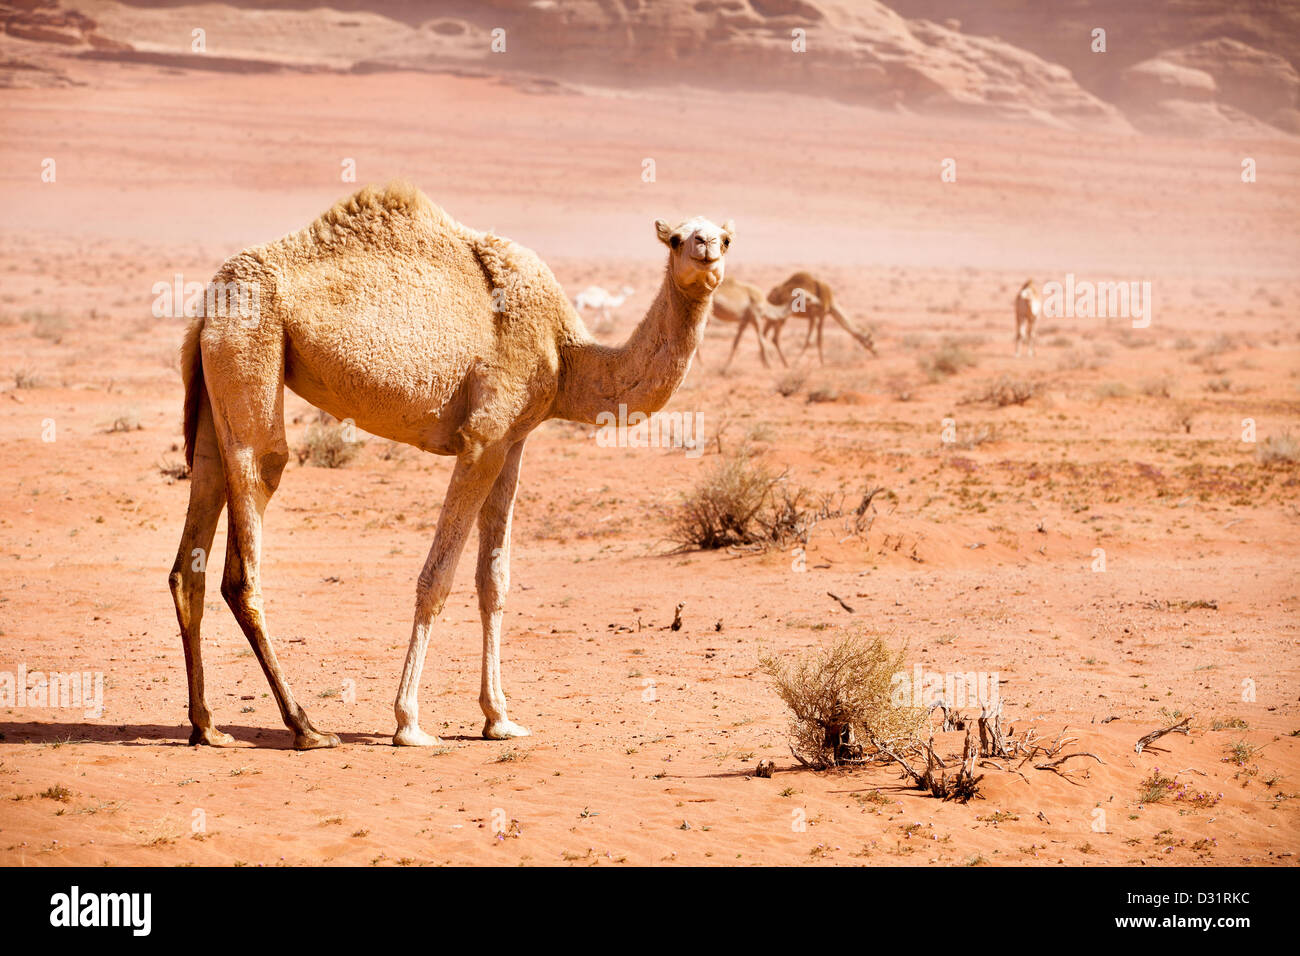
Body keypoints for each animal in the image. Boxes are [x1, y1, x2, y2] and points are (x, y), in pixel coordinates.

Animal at [168, 181, 733, 750]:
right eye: (677, 238)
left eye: (726, 237)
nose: (706, 247)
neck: (566, 353)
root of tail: (207, 307)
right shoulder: (482, 438)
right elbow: (437, 579)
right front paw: (408, 723)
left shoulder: (513, 441)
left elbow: (494, 581)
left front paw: (499, 718)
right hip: (251, 352)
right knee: (250, 532)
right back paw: (305, 726)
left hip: (216, 395)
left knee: (191, 553)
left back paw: (208, 726)